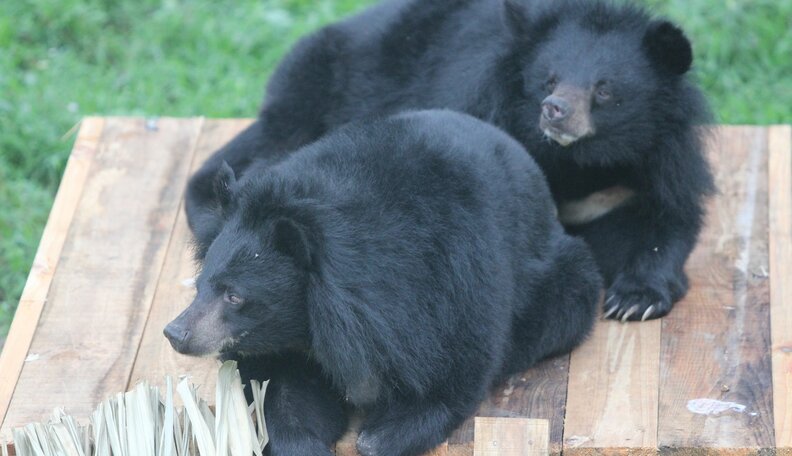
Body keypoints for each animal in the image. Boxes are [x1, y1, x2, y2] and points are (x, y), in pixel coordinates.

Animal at [167, 110, 602, 456]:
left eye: (235, 296)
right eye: (201, 285)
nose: (176, 332)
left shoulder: (455, 274)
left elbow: (460, 364)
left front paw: (382, 435)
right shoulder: (287, 340)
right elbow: (283, 389)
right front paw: (304, 442)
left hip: (551, 274)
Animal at [185, 0, 714, 323]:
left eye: (604, 88)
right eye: (548, 79)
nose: (555, 110)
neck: (584, 161)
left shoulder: (661, 155)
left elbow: (672, 217)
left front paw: (635, 299)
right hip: (317, 84)